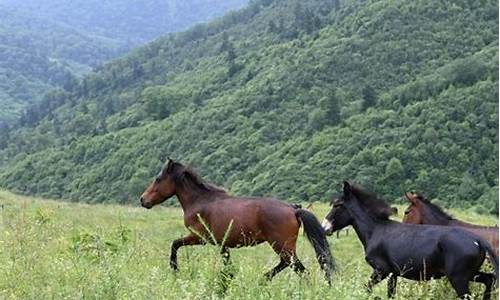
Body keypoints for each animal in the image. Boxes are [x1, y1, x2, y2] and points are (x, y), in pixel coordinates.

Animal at [139, 159, 334, 284]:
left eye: (158, 179)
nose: (143, 200)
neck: (200, 201)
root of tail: (293, 209)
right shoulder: (222, 244)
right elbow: (228, 267)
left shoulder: (200, 238)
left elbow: (175, 244)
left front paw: (175, 269)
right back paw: (263, 279)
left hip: (282, 246)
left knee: (299, 270)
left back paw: (264, 280)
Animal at [322, 182, 498, 298]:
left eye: (338, 205)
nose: (324, 228)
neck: (376, 230)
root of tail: (477, 240)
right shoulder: (393, 274)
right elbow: (389, 294)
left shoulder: (381, 271)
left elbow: (367, 288)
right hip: (470, 274)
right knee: (490, 280)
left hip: (458, 278)